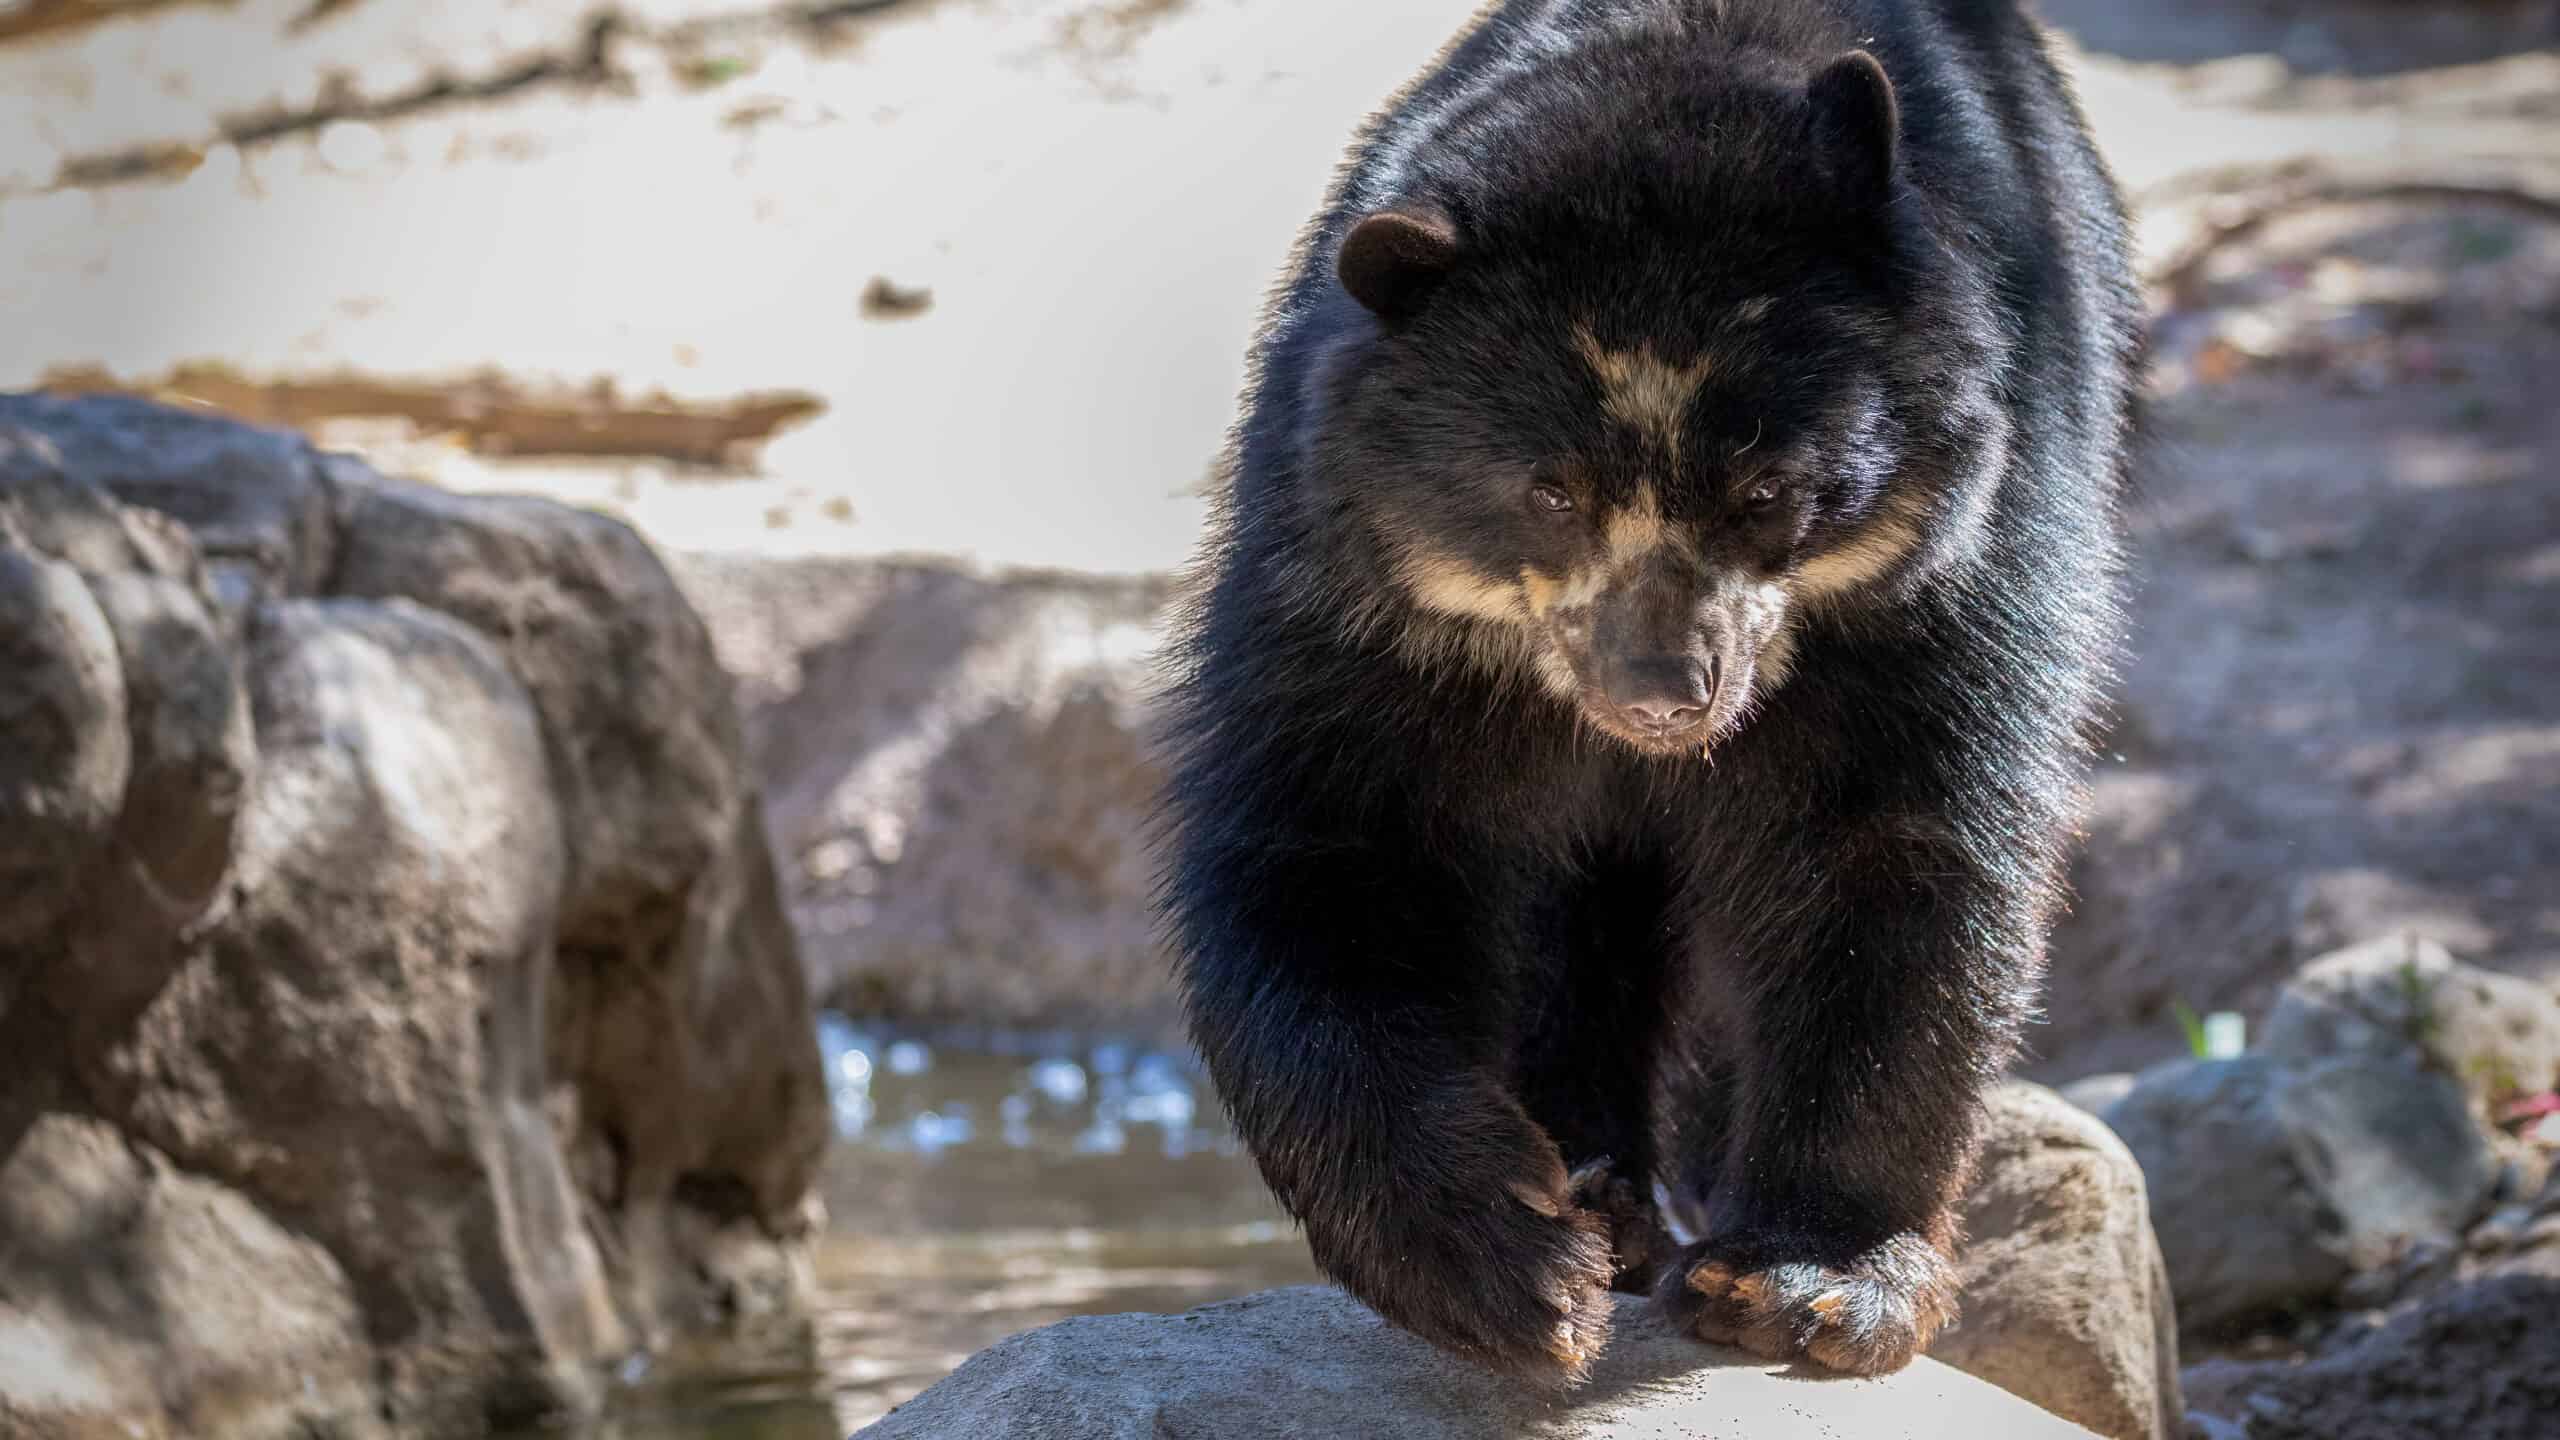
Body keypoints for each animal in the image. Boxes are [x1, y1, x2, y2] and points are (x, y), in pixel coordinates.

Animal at [1154, 0, 2142, 1384]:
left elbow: (1893, 851)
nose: (1664, 693)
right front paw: (1511, 1260)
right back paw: (1599, 1189)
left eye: (1770, 490)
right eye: (1548, 489)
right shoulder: (1354, 594)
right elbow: (1335, 853)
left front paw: (1808, 1281)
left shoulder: (1950, 573)